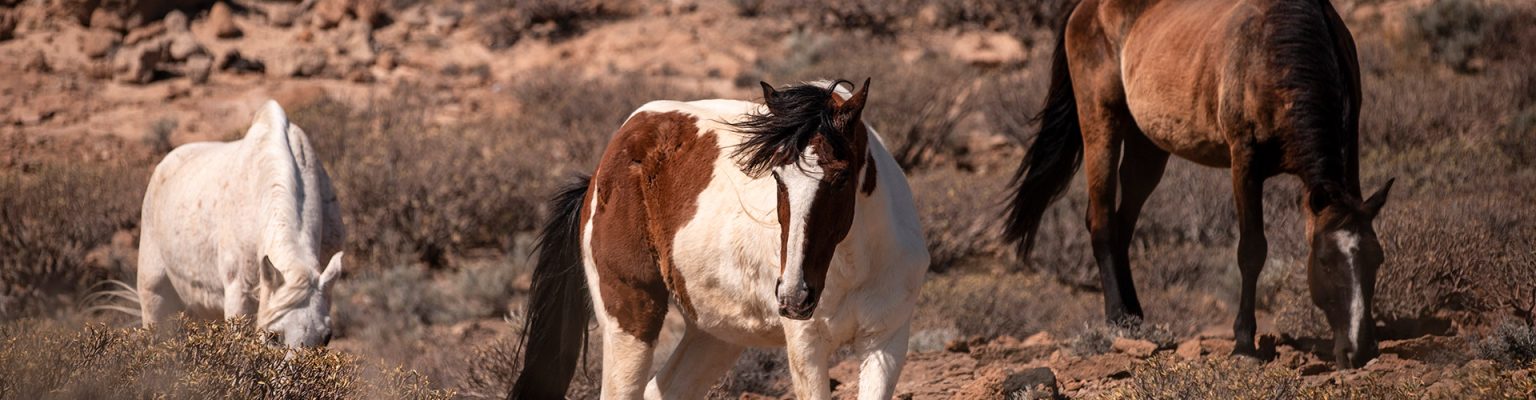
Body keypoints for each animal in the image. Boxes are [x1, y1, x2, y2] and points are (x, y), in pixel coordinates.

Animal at [509, 79, 929, 399]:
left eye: (841, 178)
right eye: (776, 176)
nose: (794, 297)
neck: (856, 268)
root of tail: (603, 168)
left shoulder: (885, 341)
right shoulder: (807, 346)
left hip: (714, 333)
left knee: (662, 390)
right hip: (630, 317)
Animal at [1003, 0, 1394, 368]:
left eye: (1377, 259)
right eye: (1325, 260)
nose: (1359, 350)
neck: (1275, 52)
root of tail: (1083, 9)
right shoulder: (1244, 160)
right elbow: (1252, 250)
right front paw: (1244, 344)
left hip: (1148, 146)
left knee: (1122, 226)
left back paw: (1135, 318)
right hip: (1101, 122)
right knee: (1100, 221)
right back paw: (1116, 320)